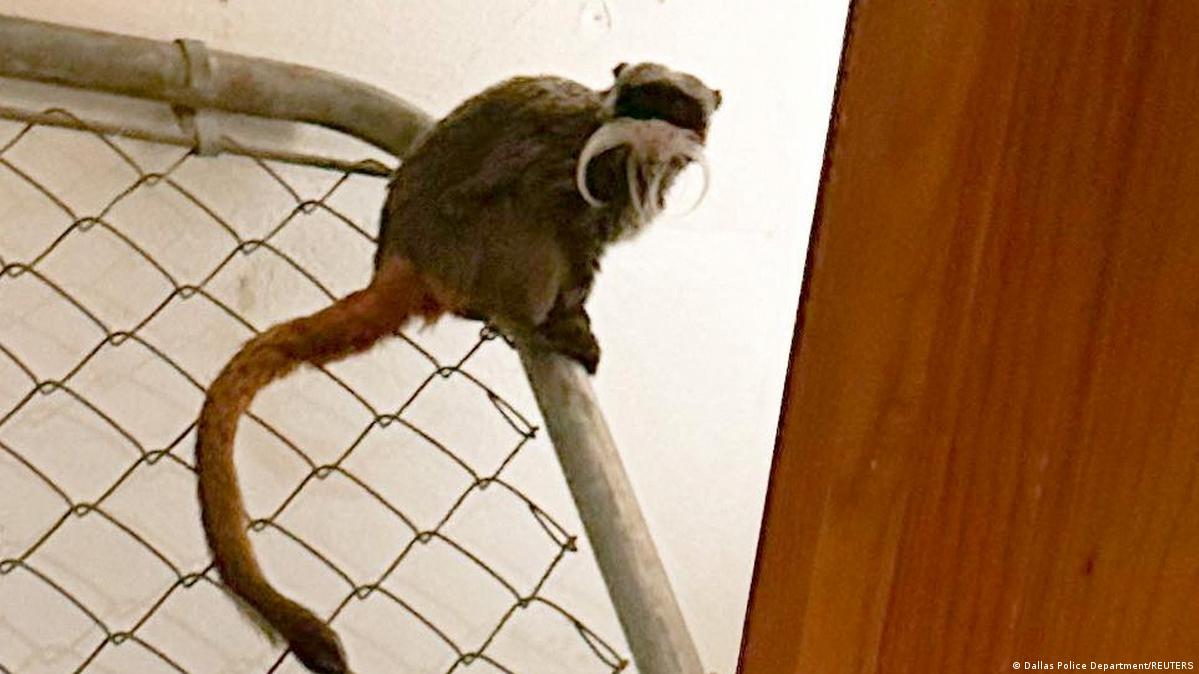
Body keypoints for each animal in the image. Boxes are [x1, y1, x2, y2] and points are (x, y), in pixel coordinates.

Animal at [195, 62, 720, 674]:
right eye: (641, 97)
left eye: (673, 105)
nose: (646, 125)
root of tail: (404, 254)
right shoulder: (571, 156)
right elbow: (546, 203)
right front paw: (566, 317)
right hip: (472, 247)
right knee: (528, 211)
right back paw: (535, 322)